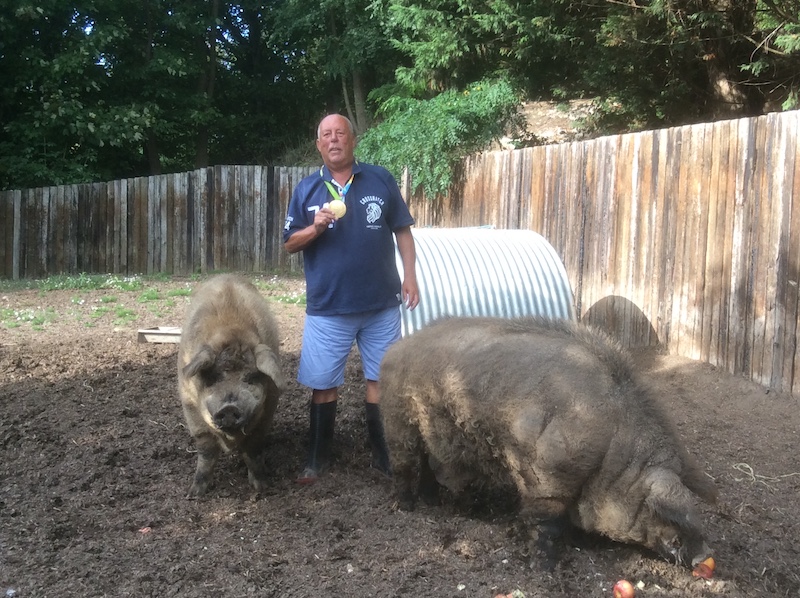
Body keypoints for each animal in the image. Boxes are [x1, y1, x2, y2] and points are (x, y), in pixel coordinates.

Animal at [177, 274, 286, 497]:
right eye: (212, 378)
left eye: (251, 378)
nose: (229, 407)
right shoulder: (190, 406)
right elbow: (206, 451)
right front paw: (194, 494)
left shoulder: (269, 406)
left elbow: (253, 450)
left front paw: (262, 487)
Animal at [379, 316, 718, 569]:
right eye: (660, 512)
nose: (704, 557)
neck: (611, 453)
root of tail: (396, 348)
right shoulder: (546, 479)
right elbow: (545, 523)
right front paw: (542, 567)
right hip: (397, 418)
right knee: (404, 463)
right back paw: (406, 507)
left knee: (427, 467)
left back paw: (433, 503)